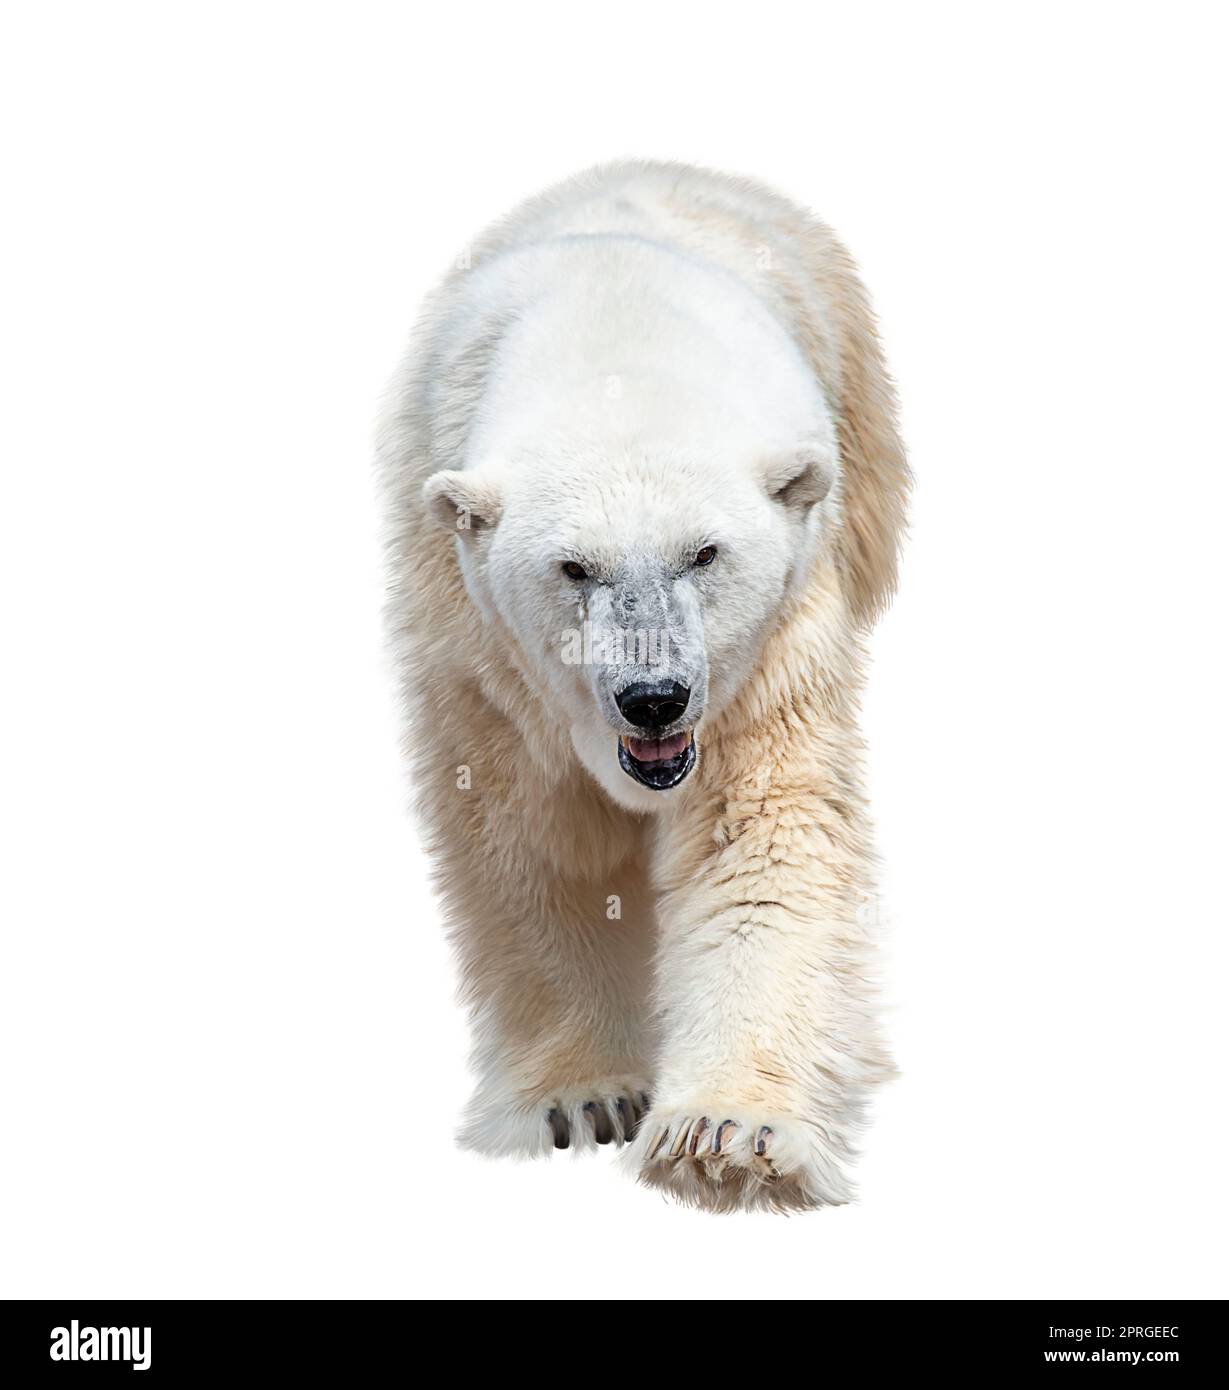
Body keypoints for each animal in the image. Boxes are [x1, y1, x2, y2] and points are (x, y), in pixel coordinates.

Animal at [377, 161, 909, 1212]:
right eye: (572, 568)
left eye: (704, 553)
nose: (653, 698)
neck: (616, 339)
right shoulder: (476, 641)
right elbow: (535, 837)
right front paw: (581, 1100)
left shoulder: (776, 638)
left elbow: (762, 834)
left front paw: (727, 1135)